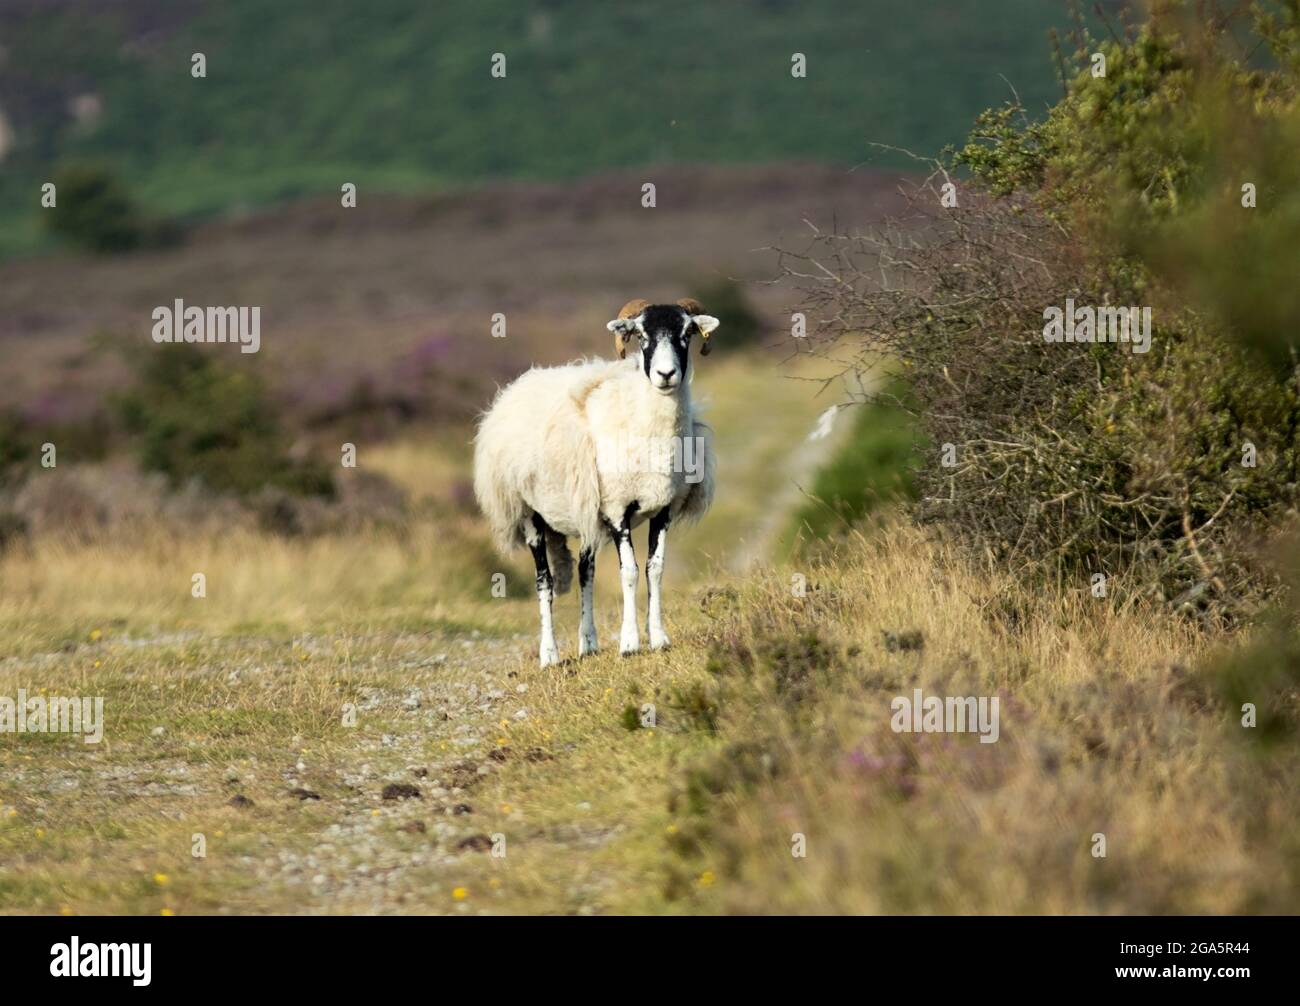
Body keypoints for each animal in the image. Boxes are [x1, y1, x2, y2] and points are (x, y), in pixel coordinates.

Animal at [473, 298, 719, 667]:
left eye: (687, 332)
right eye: (640, 335)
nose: (665, 375)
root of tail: (515, 389)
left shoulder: (663, 510)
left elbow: (655, 569)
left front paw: (659, 639)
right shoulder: (618, 511)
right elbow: (629, 571)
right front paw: (630, 644)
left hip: (585, 515)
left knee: (584, 571)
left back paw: (587, 643)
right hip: (529, 514)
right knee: (544, 582)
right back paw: (550, 654)